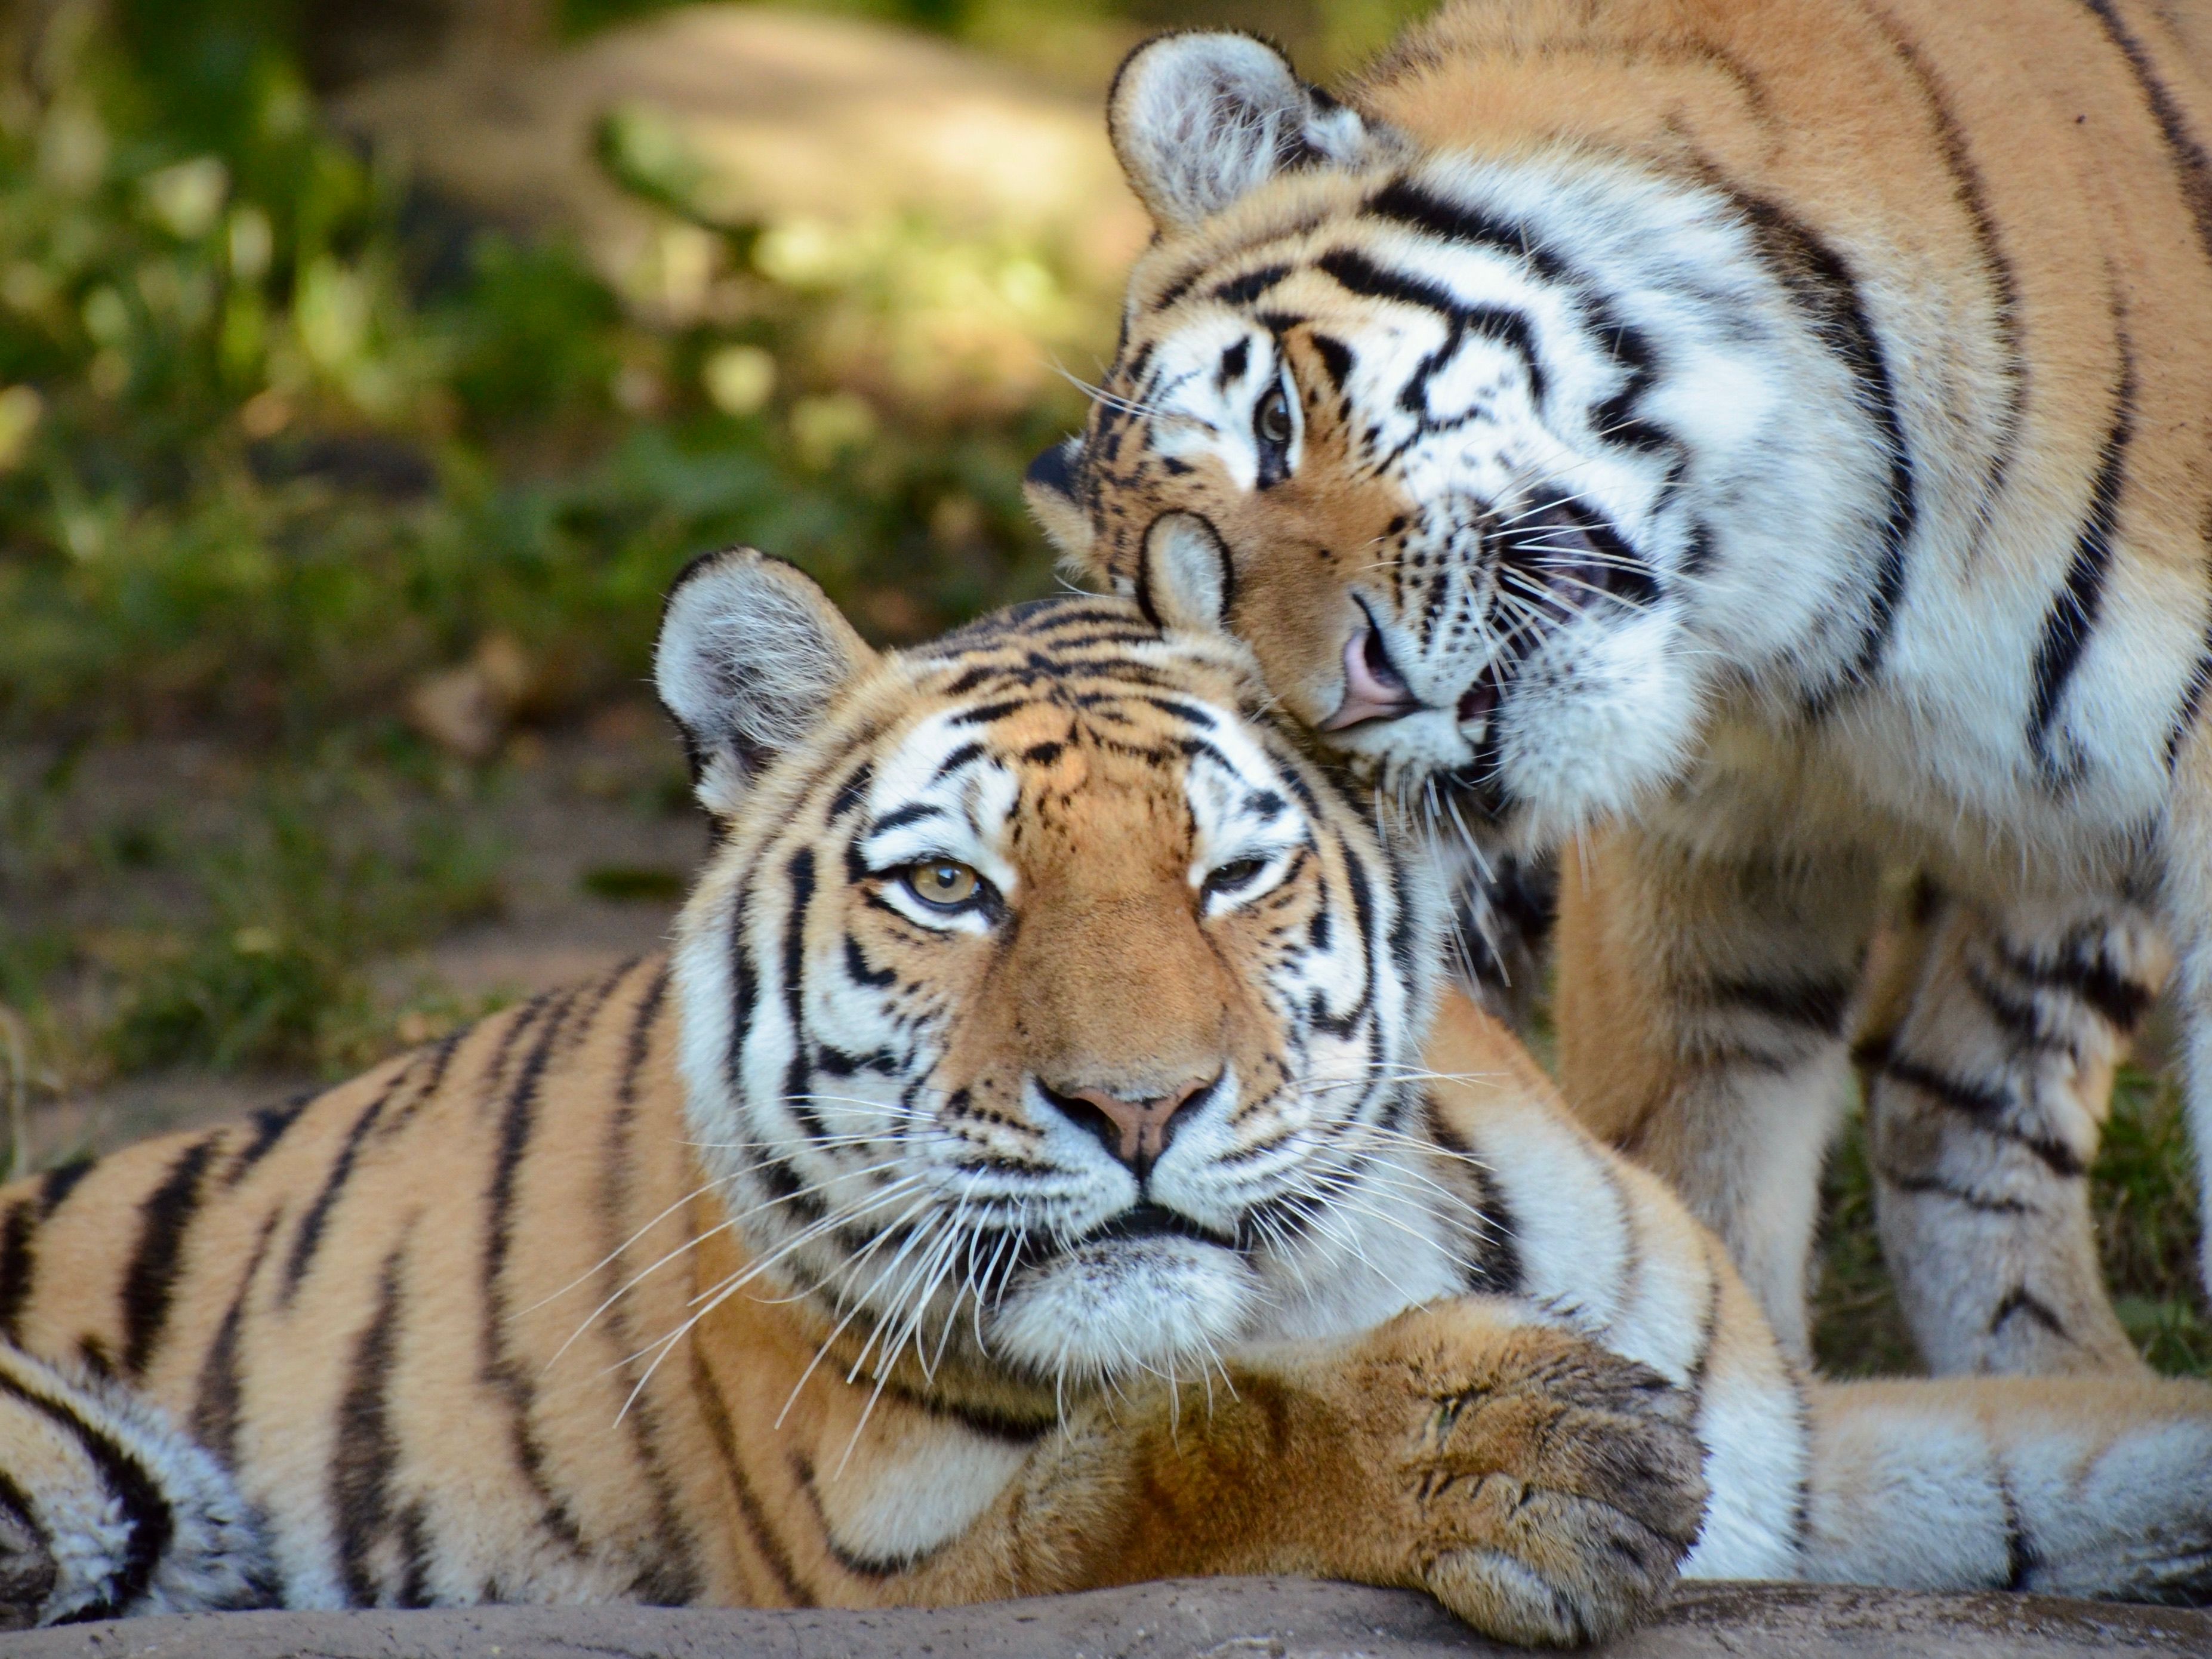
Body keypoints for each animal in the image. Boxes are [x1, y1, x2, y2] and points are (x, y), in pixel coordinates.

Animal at [0, 548, 2209, 1640]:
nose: (1133, 1110)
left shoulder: (1801, 1450)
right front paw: (1500, 1456)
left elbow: (2086, 1462)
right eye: (949, 891)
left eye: (1228, 872)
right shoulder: (879, 1577)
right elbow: (1176, 1451)